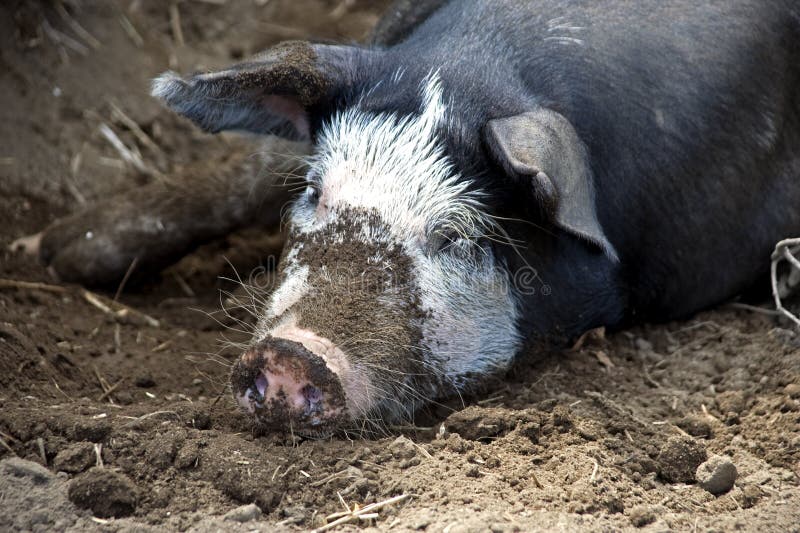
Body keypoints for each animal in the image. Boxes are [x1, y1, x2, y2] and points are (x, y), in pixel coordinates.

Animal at [14, 0, 800, 434]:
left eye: (452, 236)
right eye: (316, 192)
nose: (292, 352)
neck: (479, 63)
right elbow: (253, 166)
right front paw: (54, 252)